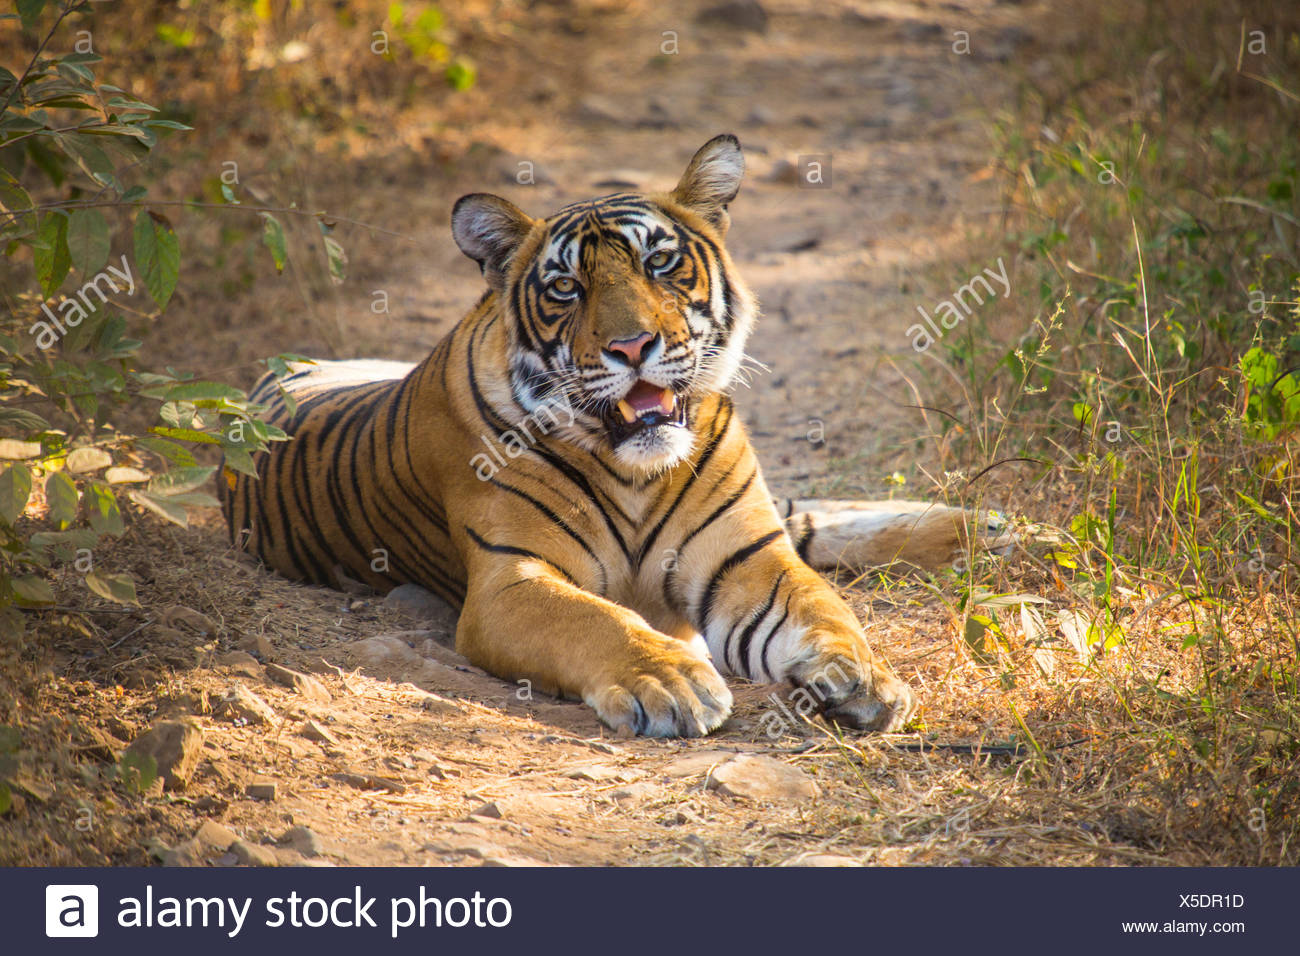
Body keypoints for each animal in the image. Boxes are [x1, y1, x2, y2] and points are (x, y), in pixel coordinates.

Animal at [220, 134, 1000, 738]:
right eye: (566, 288)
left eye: (659, 262)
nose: (632, 346)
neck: (634, 470)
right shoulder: (512, 579)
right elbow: (597, 621)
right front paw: (672, 681)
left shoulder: (747, 557)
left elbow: (825, 610)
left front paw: (865, 676)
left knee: (807, 518)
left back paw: (996, 529)